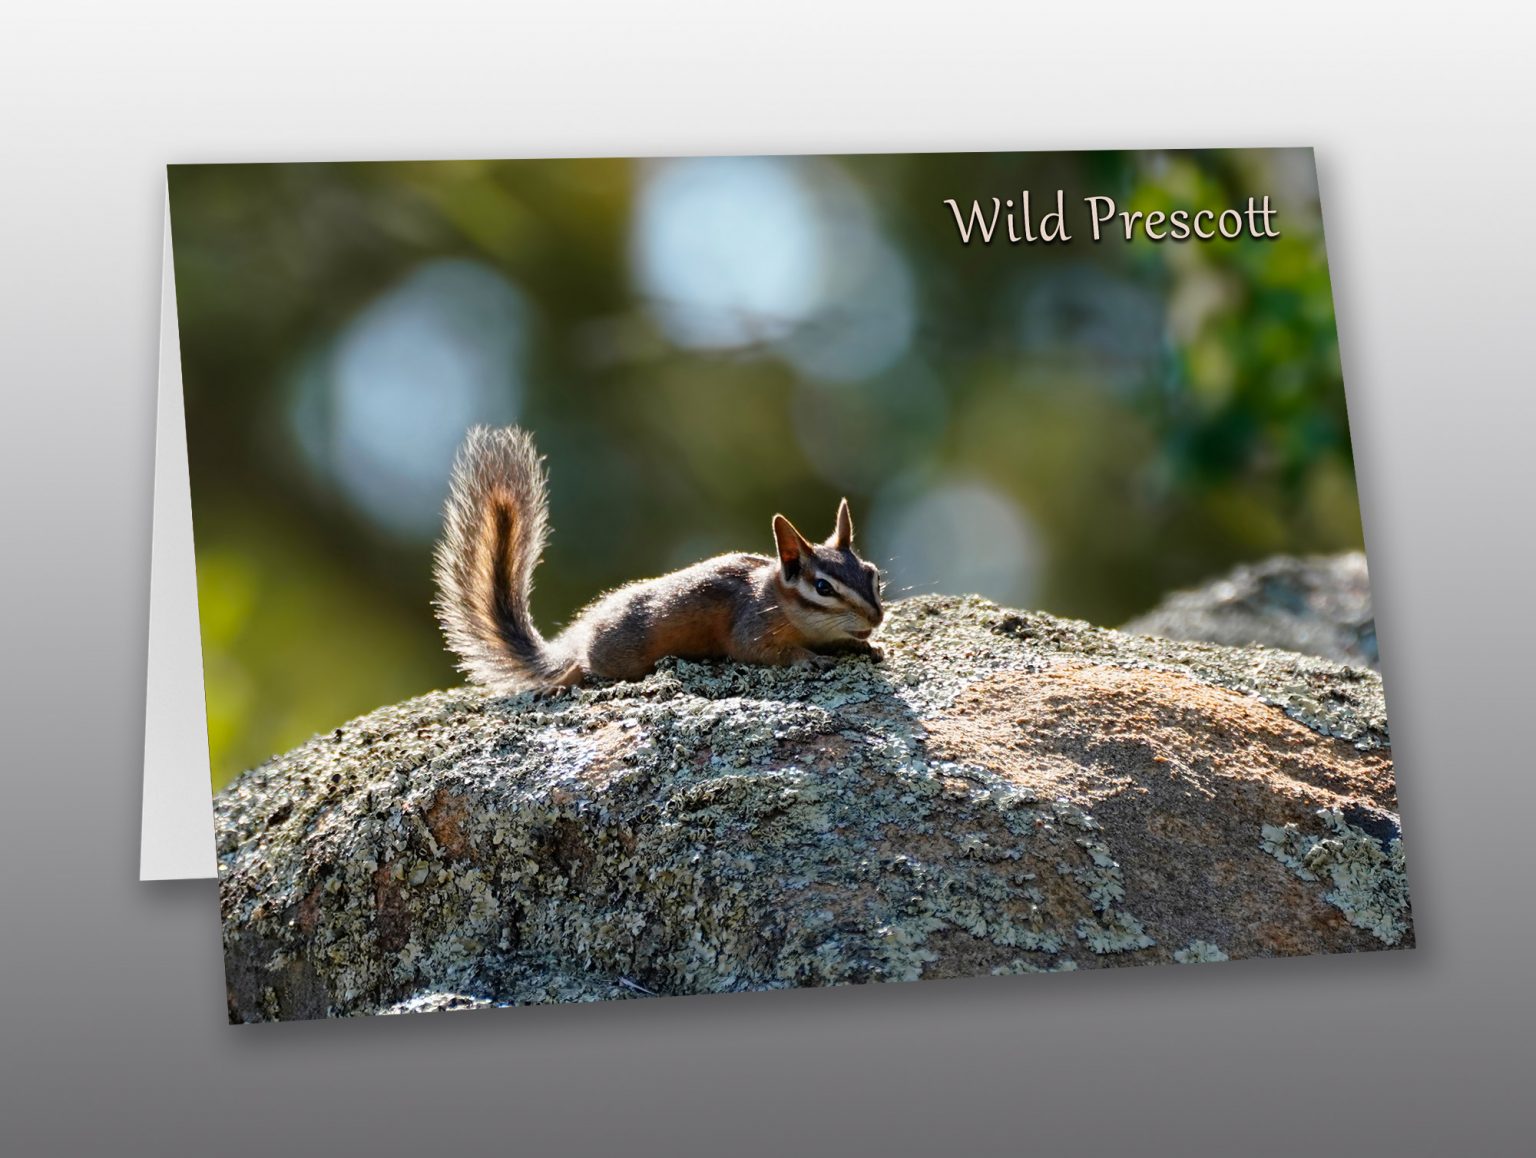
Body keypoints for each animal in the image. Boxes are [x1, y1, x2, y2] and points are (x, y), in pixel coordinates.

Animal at [432, 425, 885, 692]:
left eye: (871, 573)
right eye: (822, 586)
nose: (876, 617)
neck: (780, 599)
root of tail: (583, 631)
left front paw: (863, 646)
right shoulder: (753, 628)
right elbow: (762, 652)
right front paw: (808, 659)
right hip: (619, 656)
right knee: (585, 664)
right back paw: (568, 677)